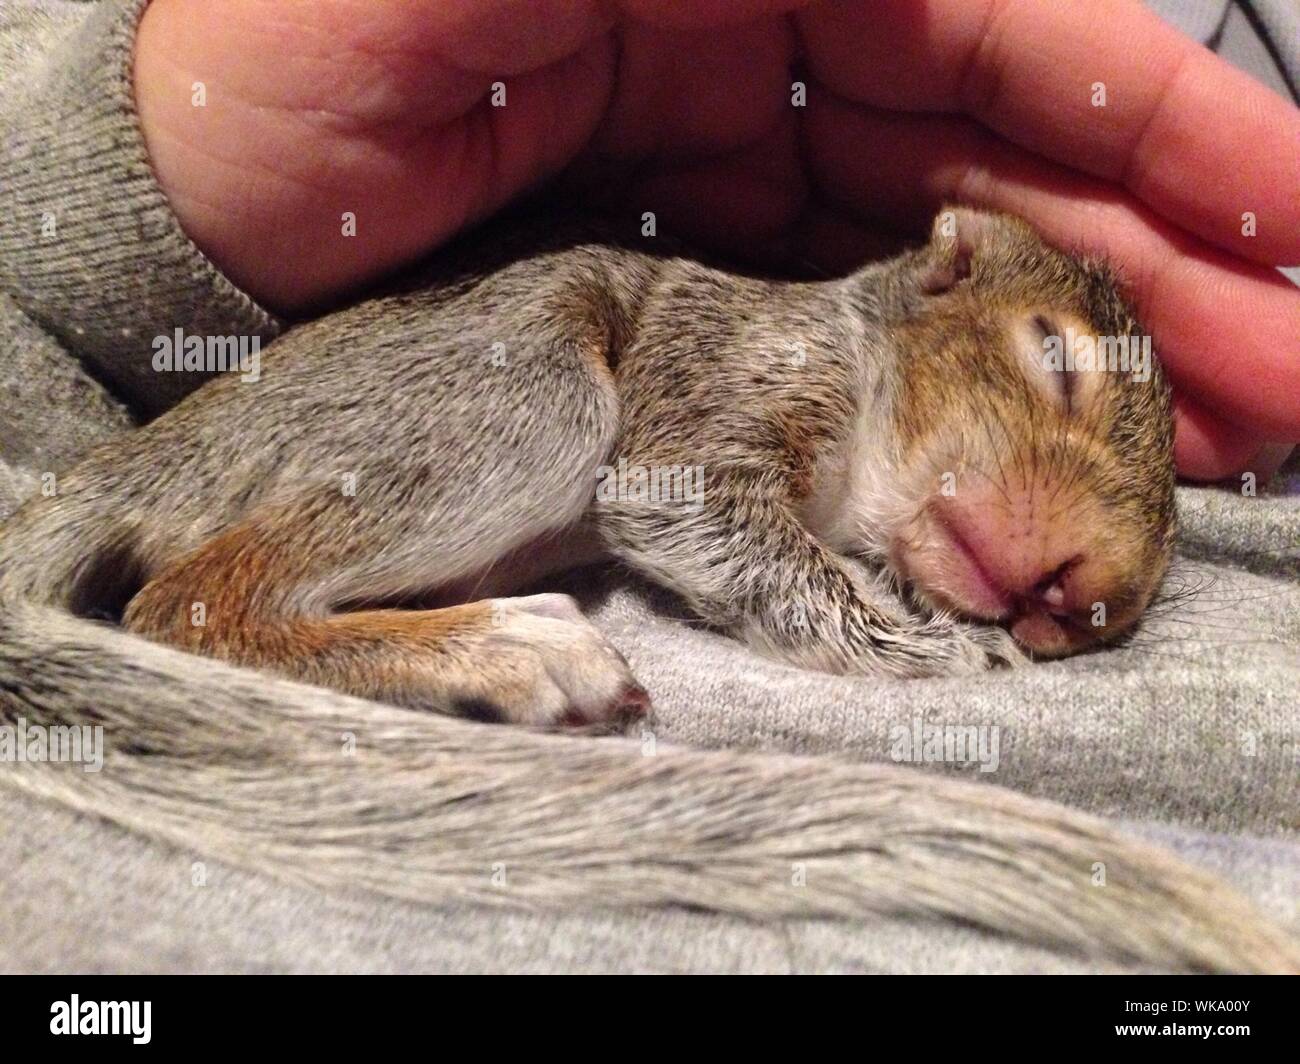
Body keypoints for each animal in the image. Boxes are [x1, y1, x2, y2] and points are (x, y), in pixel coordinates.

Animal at [0, 206, 1292, 971]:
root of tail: (153, 453)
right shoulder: (718, 387)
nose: (1093, 597)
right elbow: (725, 528)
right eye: (1054, 354)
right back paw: (501, 647)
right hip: (520, 397)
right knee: (193, 602)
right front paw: (938, 647)